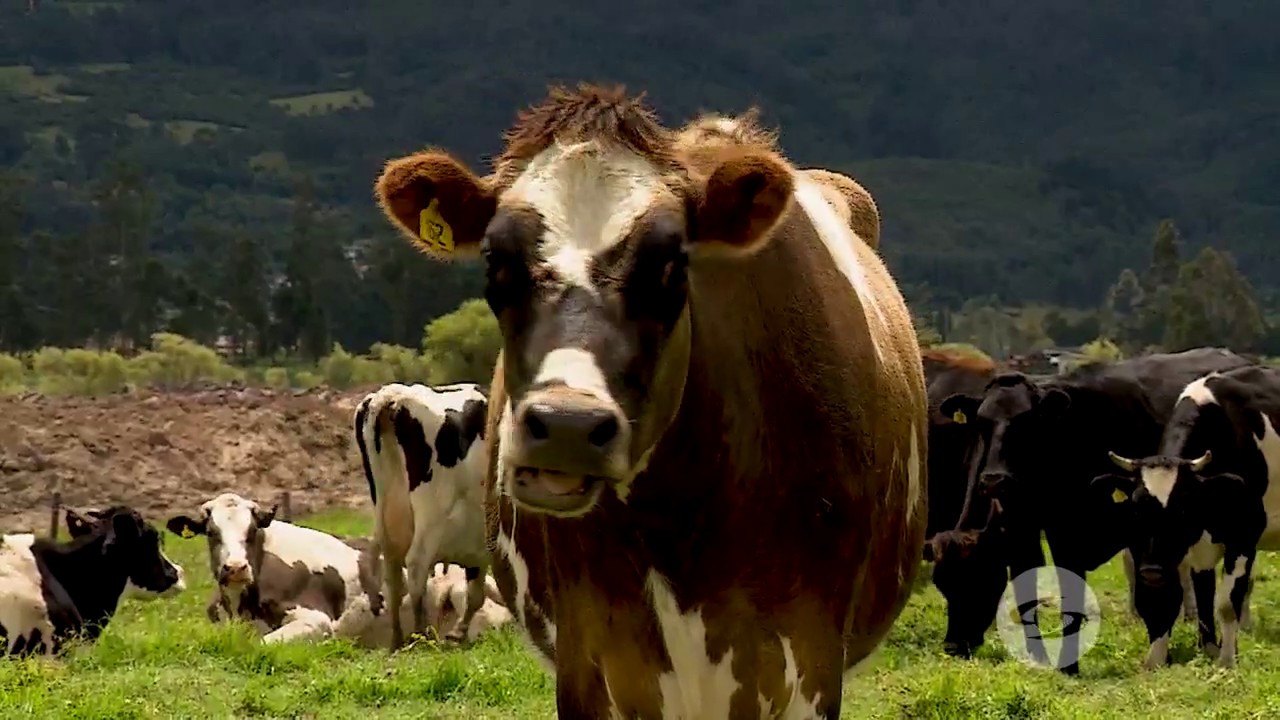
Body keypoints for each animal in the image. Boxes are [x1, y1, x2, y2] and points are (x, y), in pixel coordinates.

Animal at [353, 381, 490, 649]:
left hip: (385, 512)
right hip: (431, 514)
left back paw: (398, 637)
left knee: (393, 574)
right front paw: (458, 633)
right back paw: (421, 635)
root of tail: (392, 396)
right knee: (416, 564)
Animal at [929, 347, 1252, 673]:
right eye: (981, 423)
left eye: (1025, 423)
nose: (954, 645)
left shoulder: (1077, 533)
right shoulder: (1022, 531)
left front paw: (1069, 666)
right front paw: (1038, 658)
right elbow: (1026, 594)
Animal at [1094, 364, 1280, 669]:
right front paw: (1177, 654)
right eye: (1136, 509)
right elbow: (1195, 596)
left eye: (1181, 508)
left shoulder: (1243, 535)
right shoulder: (1188, 549)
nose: (1152, 570)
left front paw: (1226, 660)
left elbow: (1227, 602)